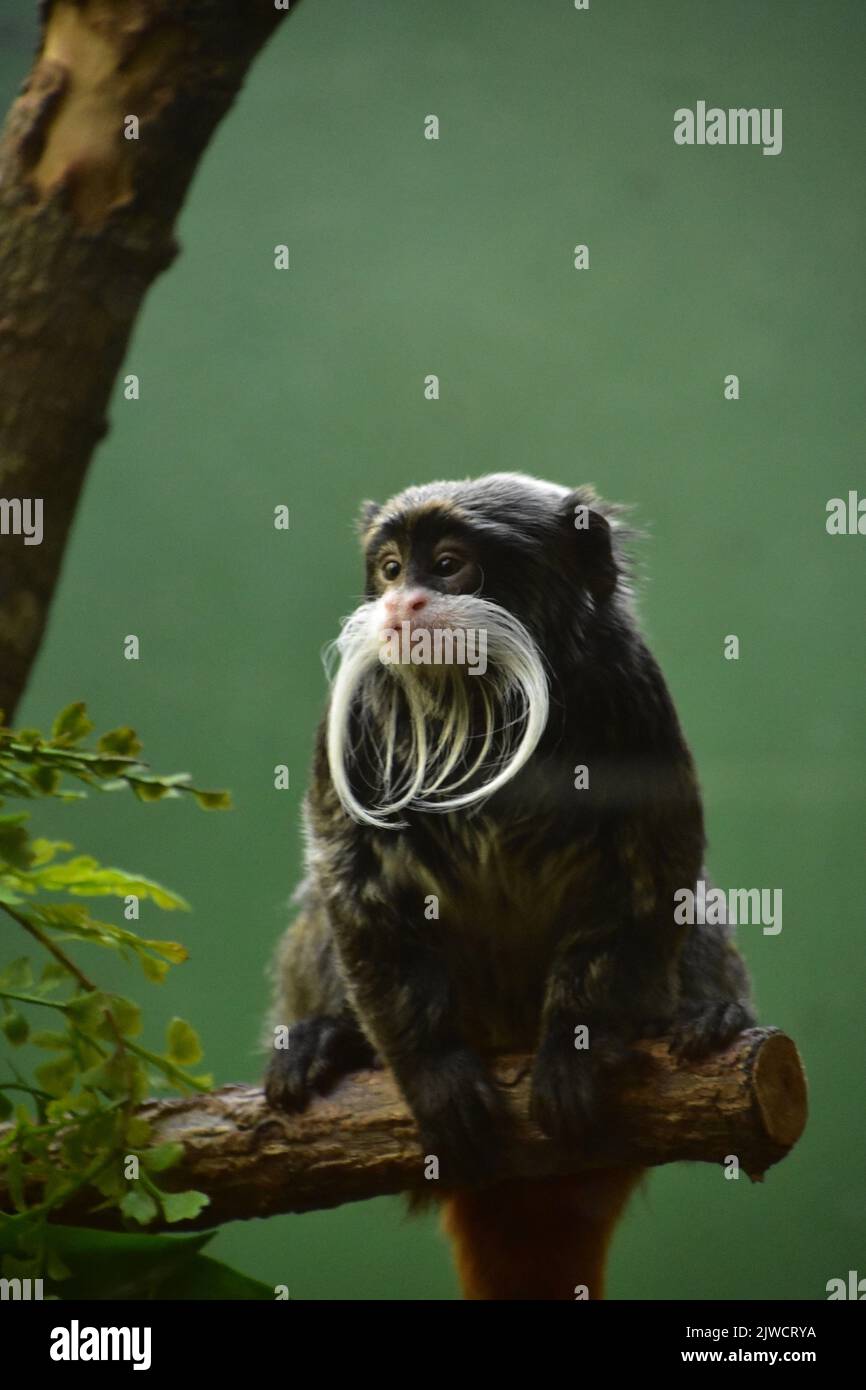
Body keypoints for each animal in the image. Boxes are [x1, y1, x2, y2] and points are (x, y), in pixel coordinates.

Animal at [264, 471, 755, 1300]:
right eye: (390, 569)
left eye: (448, 566)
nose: (402, 605)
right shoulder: (354, 708)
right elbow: (350, 875)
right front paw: (432, 1074)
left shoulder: (630, 689)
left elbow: (655, 876)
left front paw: (575, 1052)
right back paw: (323, 1039)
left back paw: (709, 1018)